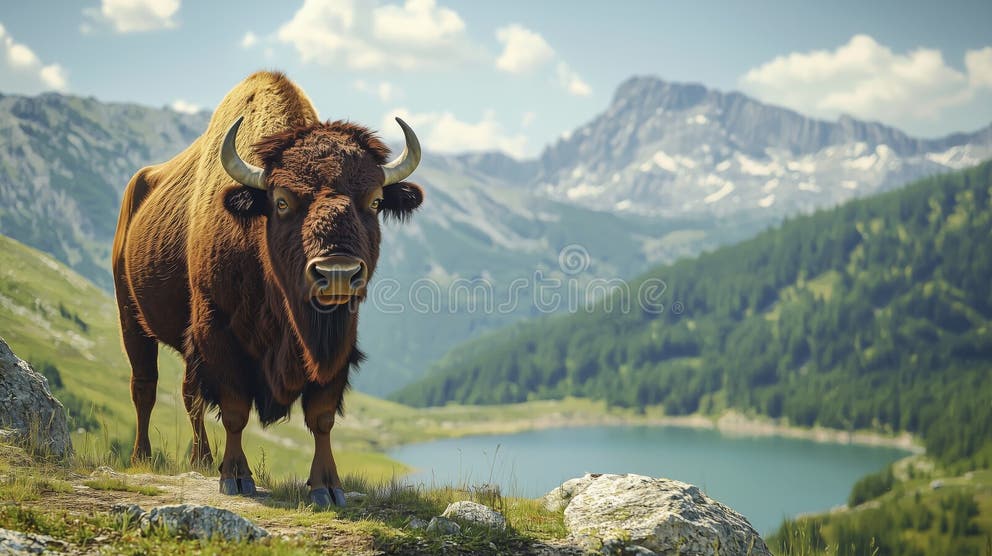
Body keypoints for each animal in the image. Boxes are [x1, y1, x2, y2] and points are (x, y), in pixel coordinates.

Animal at [112, 71, 423, 507]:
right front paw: (236, 478)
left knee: (189, 395)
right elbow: (235, 409)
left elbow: (321, 416)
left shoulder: (338, 342)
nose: (337, 274)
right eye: (281, 202)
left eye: (376, 201)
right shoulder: (218, 332)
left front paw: (328, 487)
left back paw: (201, 460)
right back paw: (142, 457)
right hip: (131, 318)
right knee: (145, 387)